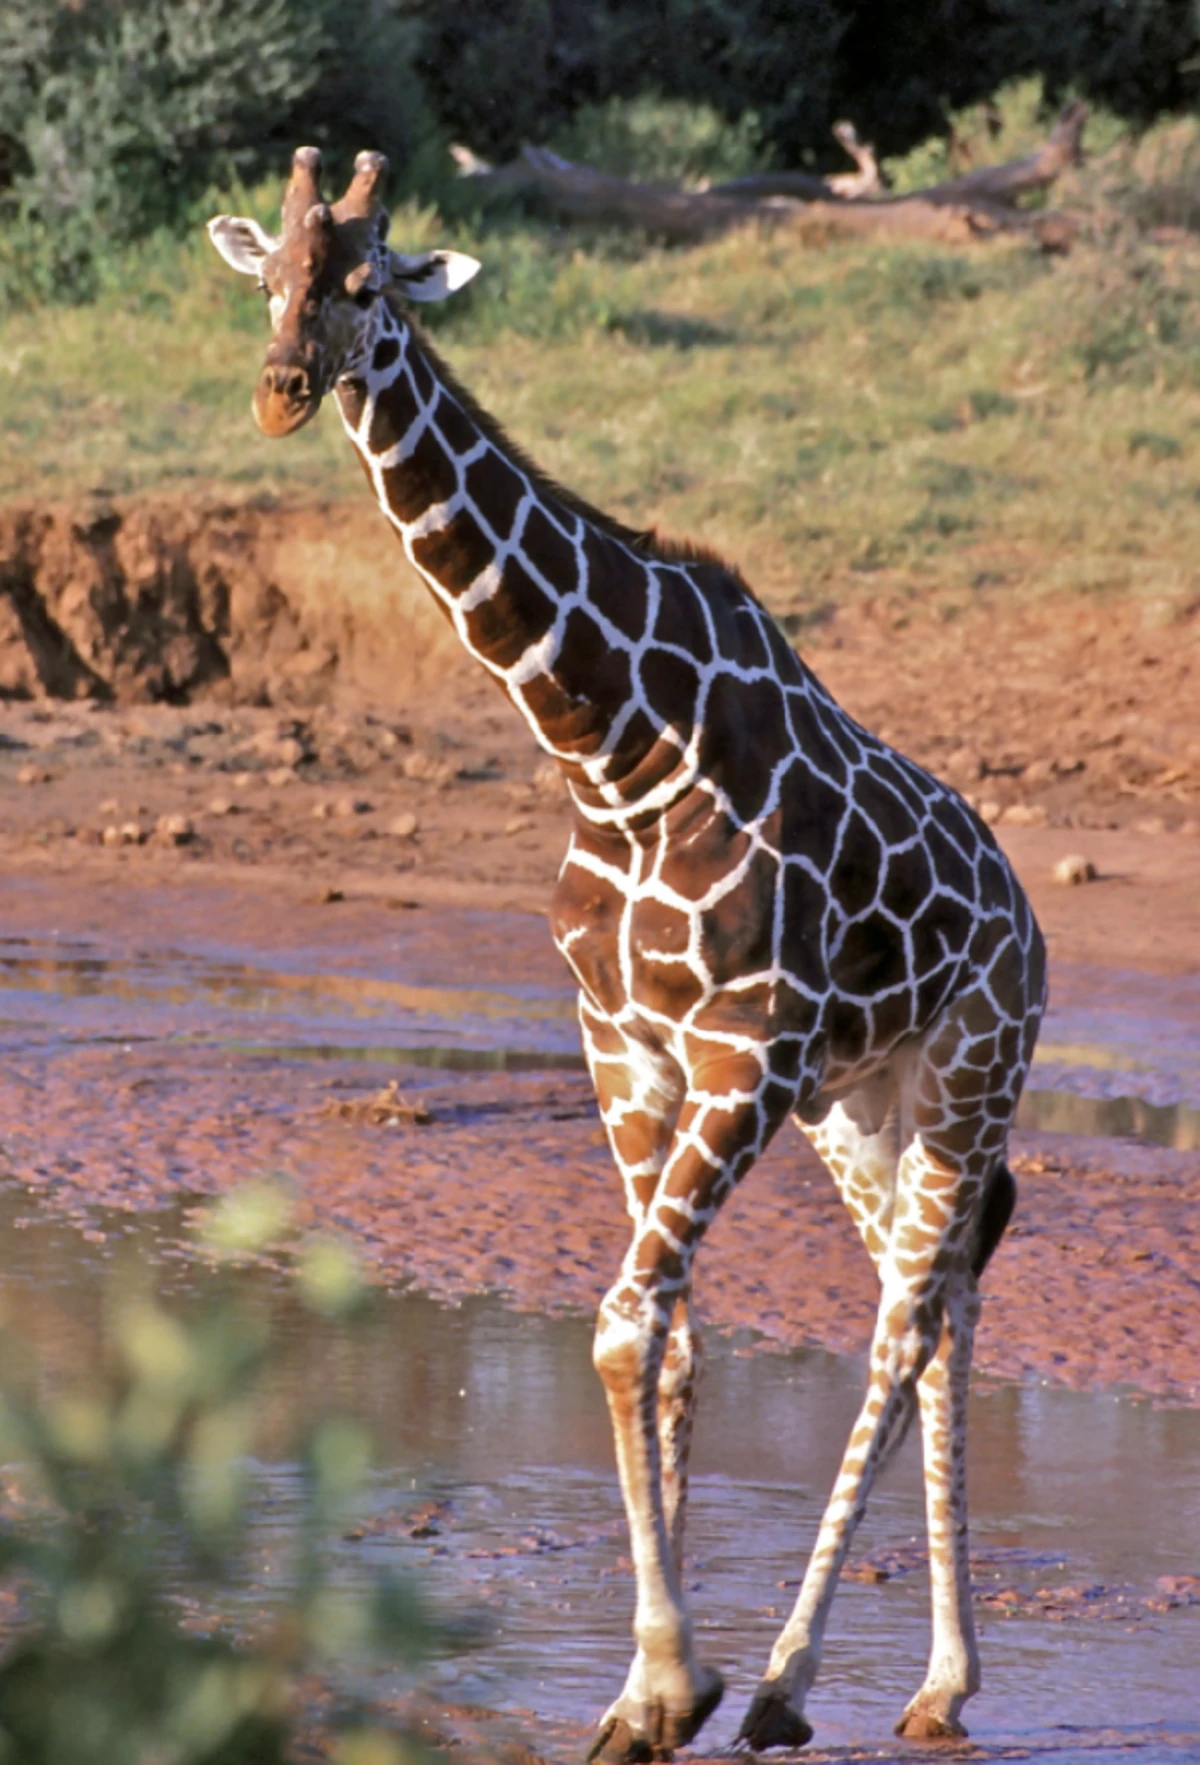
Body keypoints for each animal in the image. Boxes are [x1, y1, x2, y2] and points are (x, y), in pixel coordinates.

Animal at [209, 148, 1046, 1758]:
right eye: (267, 275)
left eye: (368, 284)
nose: (282, 387)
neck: (611, 749)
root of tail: (1030, 922)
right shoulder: (629, 1047)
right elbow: (670, 1338)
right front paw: (652, 1690)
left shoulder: (745, 1056)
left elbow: (617, 1326)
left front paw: (674, 1683)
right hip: (867, 1109)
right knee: (941, 1307)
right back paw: (934, 1683)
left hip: (969, 1075)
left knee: (904, 1323)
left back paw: (793, 1683)